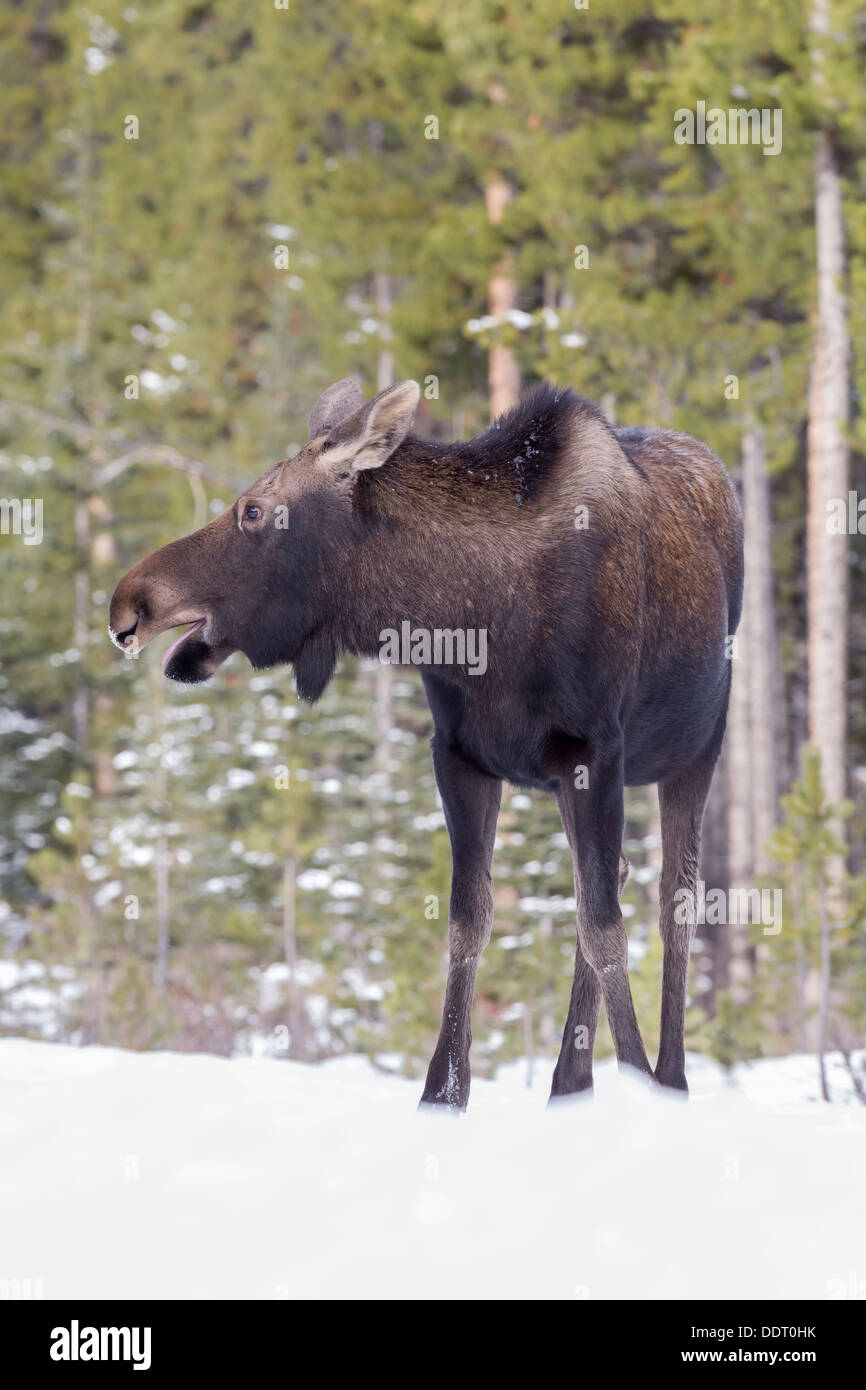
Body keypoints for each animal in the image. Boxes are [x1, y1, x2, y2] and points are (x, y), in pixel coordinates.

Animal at [110, 377, 744, 1110]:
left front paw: (640, 1084)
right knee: (612, 879)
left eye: (253, 510)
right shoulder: (459, 756)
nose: (127, 603)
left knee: (675, 900)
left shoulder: (594, 750)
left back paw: (668, 1079)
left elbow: (604, 926)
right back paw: (569, 1084)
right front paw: (442, 1093)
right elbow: (472, 921)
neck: (474, 621)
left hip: (696, 750)